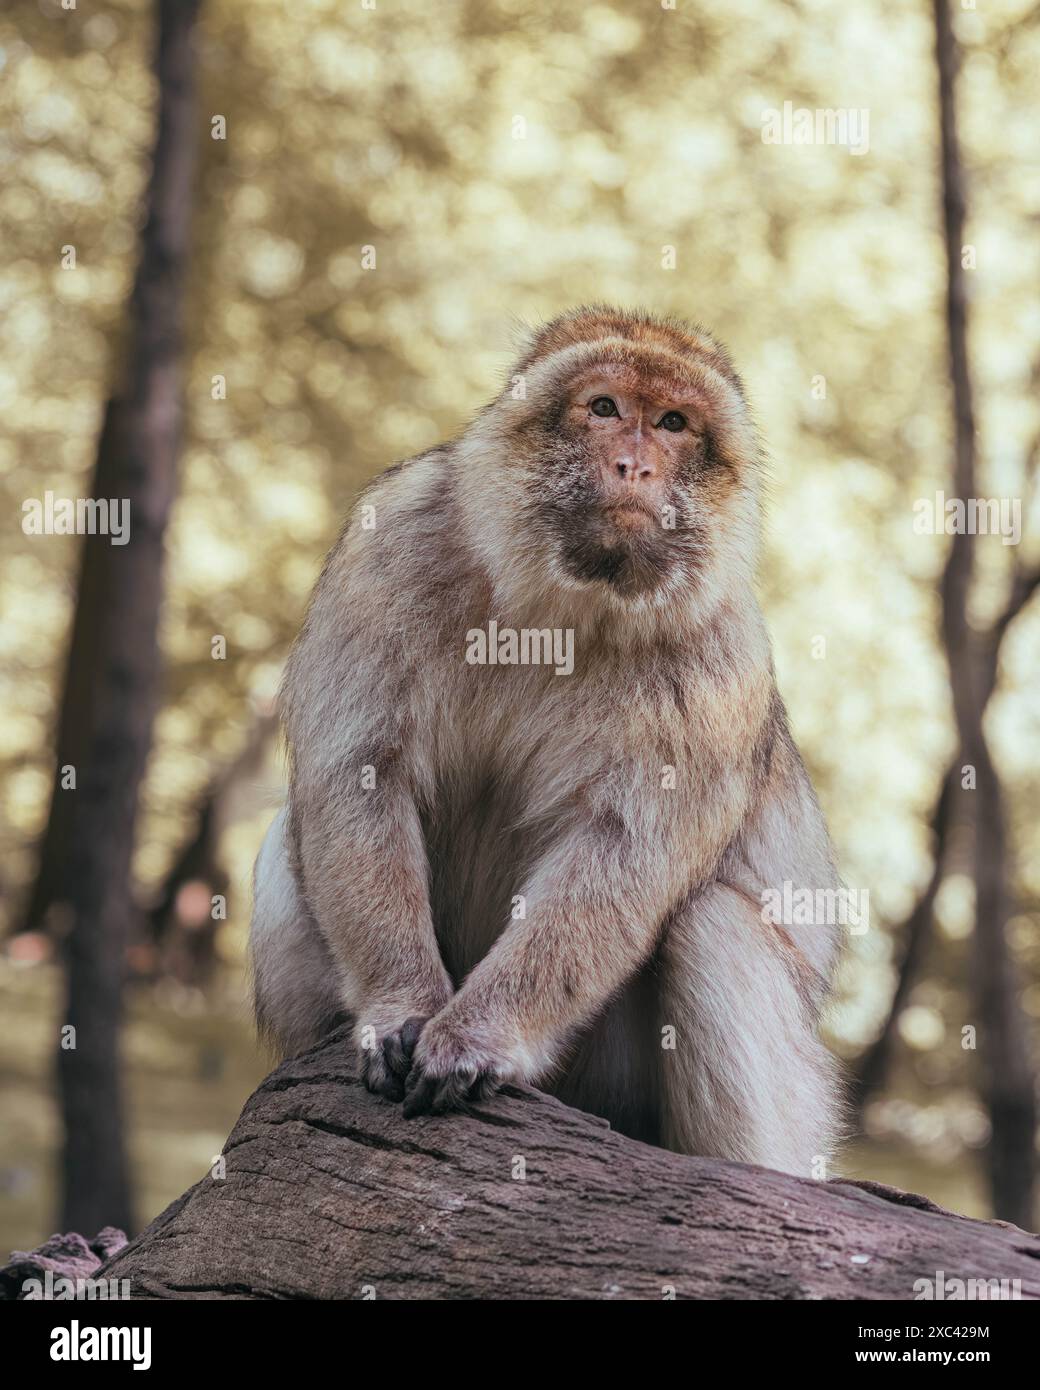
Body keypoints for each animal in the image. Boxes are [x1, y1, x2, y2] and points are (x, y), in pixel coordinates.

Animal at [249, 305, 844, 1176]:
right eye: (604, 407)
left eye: (674, 422)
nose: (634, 464)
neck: (563, 605)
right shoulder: (388, 545)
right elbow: (362, 777)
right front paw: (401, 1007)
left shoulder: (718, 664)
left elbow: (624, 853)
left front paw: (478, 1036)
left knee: (714, 926)